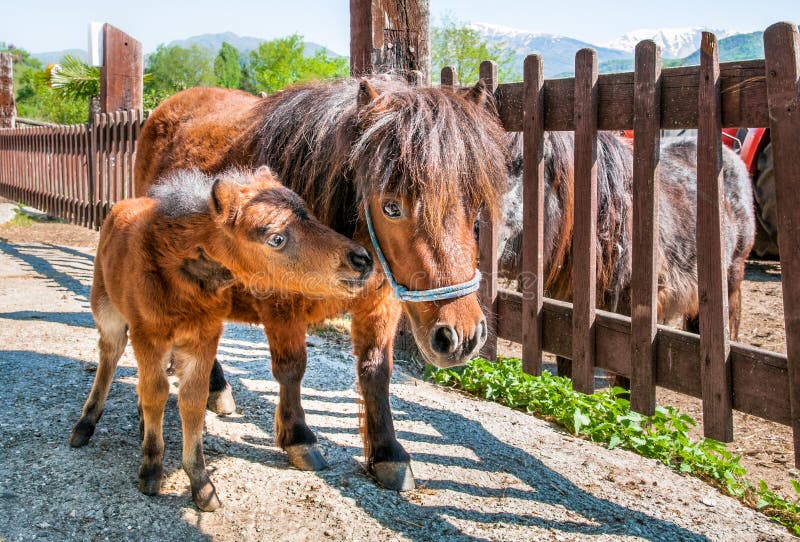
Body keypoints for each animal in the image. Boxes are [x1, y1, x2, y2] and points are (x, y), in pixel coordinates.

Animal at [70, 167, 374, 511]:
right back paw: (85, 425)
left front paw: (201, 483)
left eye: (308, 213)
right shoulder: (148, 334)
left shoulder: (204, 338)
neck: (181, 270)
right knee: (110, 357)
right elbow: (156, 393)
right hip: (106, 309)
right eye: (276, 238)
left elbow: (192, 400)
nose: (361, 260)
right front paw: (151, 470)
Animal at [134, 77, 509, 490]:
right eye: (392, 206)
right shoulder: (281, 305)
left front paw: (388, 452)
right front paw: (298, 437)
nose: (462, 336)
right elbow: (291, 367)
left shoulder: (380, 304)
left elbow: (376, 372)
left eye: (475, 204)